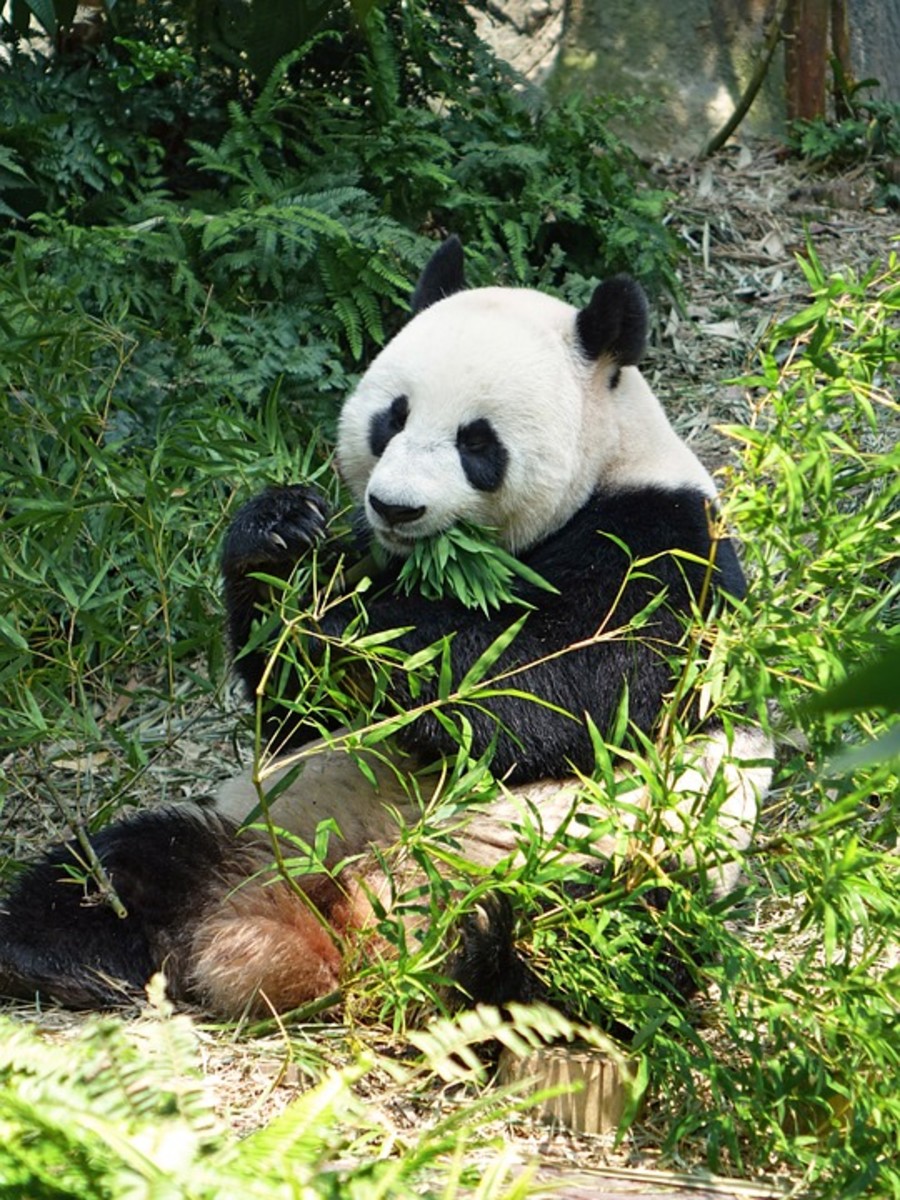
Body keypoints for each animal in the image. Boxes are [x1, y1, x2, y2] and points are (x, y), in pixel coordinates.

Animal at [0, 236, 771, 1021]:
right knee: (119, 866)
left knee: (596, 936)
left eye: (477, 442)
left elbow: (560, 679)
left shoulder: (662, 545)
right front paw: (281, 538)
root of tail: (333, 931)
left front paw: (349, 624)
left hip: (598, 858)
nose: (395, 507)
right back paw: (55, 955)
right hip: (264, 821)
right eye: (391, 418)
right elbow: (296, 712)